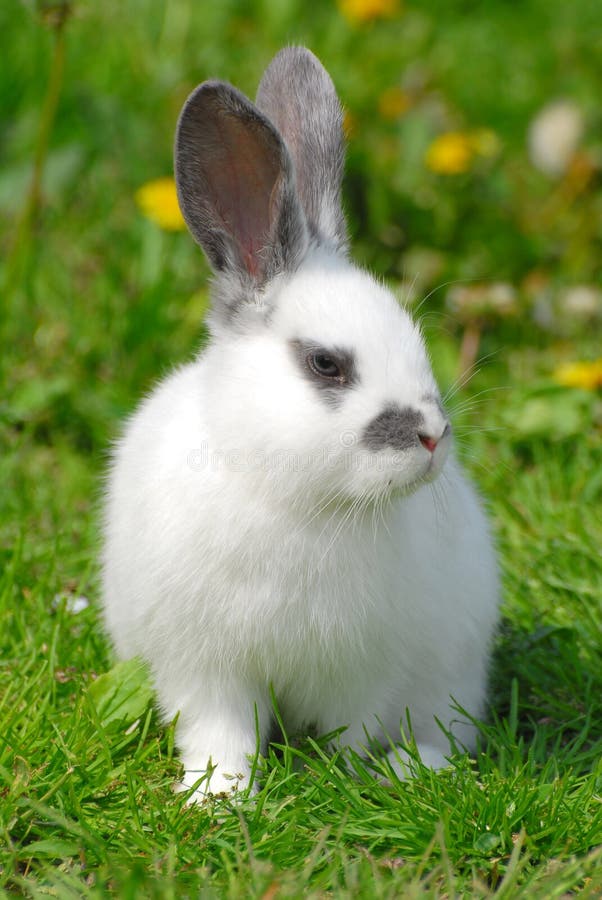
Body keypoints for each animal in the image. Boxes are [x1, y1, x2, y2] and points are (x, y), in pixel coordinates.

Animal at [102, 46, 499, 800]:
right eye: (325, 364)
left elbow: (352, 729)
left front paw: (346, 778)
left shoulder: (365, 671)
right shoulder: (207, 667)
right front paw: (218, 797)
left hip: (450, 678)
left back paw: (411, 769)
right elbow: (221, 732)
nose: (433, 437)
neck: (297, 500)